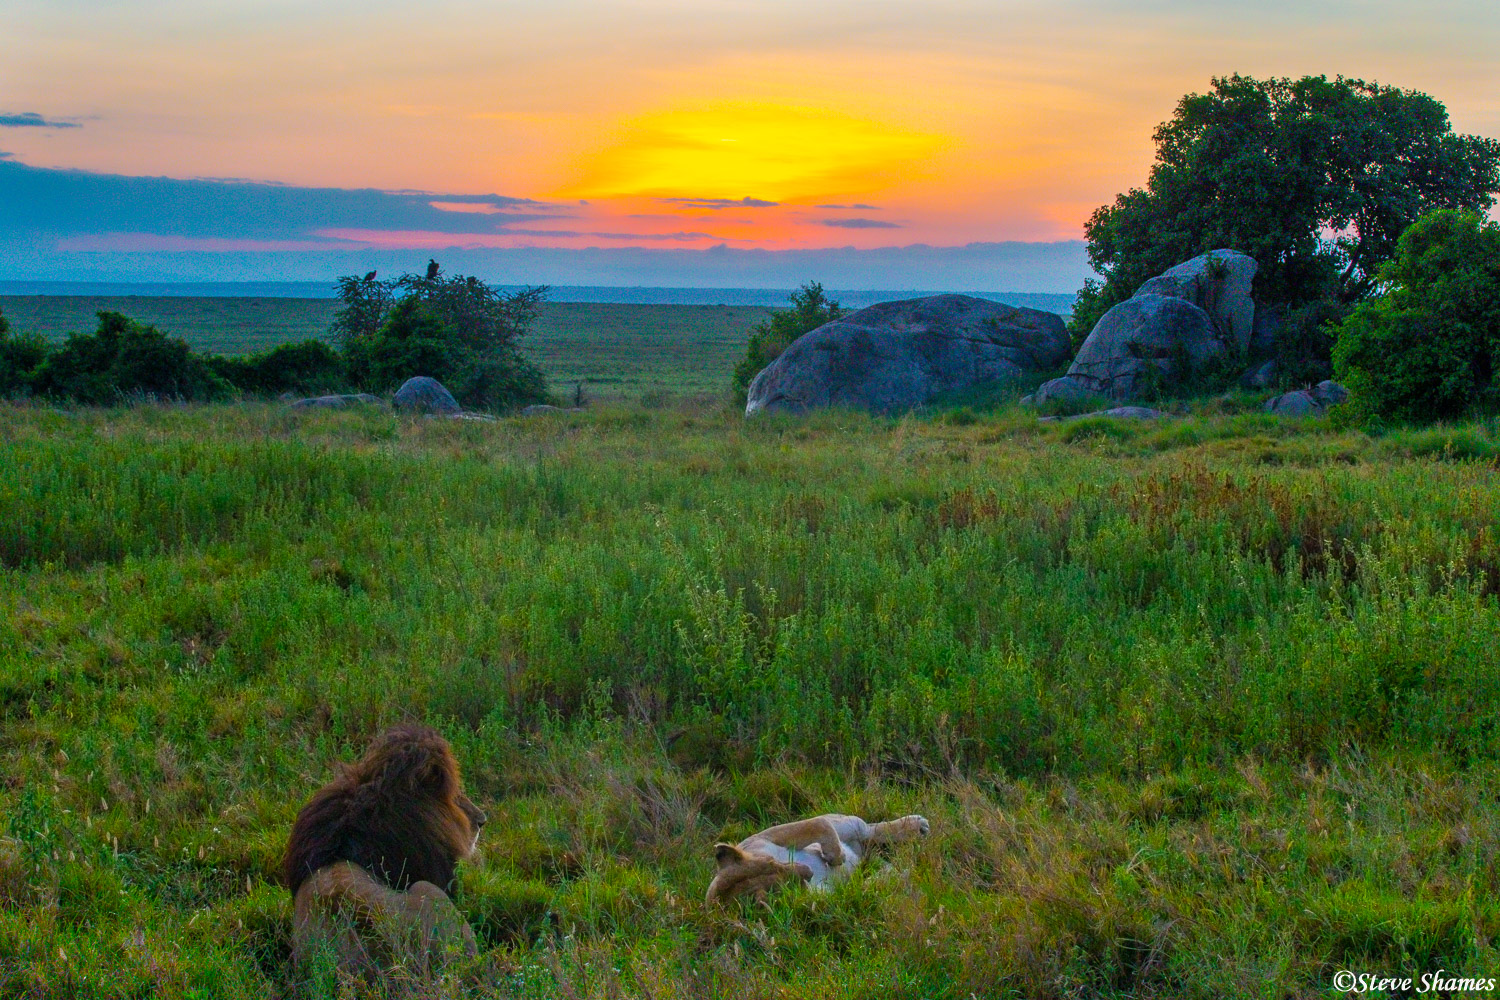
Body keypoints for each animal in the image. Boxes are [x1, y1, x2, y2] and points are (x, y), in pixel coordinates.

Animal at [706, 812, 930, 905]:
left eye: (773, 862)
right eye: (783, 885)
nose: (809, 871)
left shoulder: (766, 836)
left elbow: (818, 824)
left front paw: (836, 856)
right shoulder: (829, 898)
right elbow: (863, 889)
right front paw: (894, 875)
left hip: (849, 824)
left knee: (871, 829)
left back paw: (918, 825)